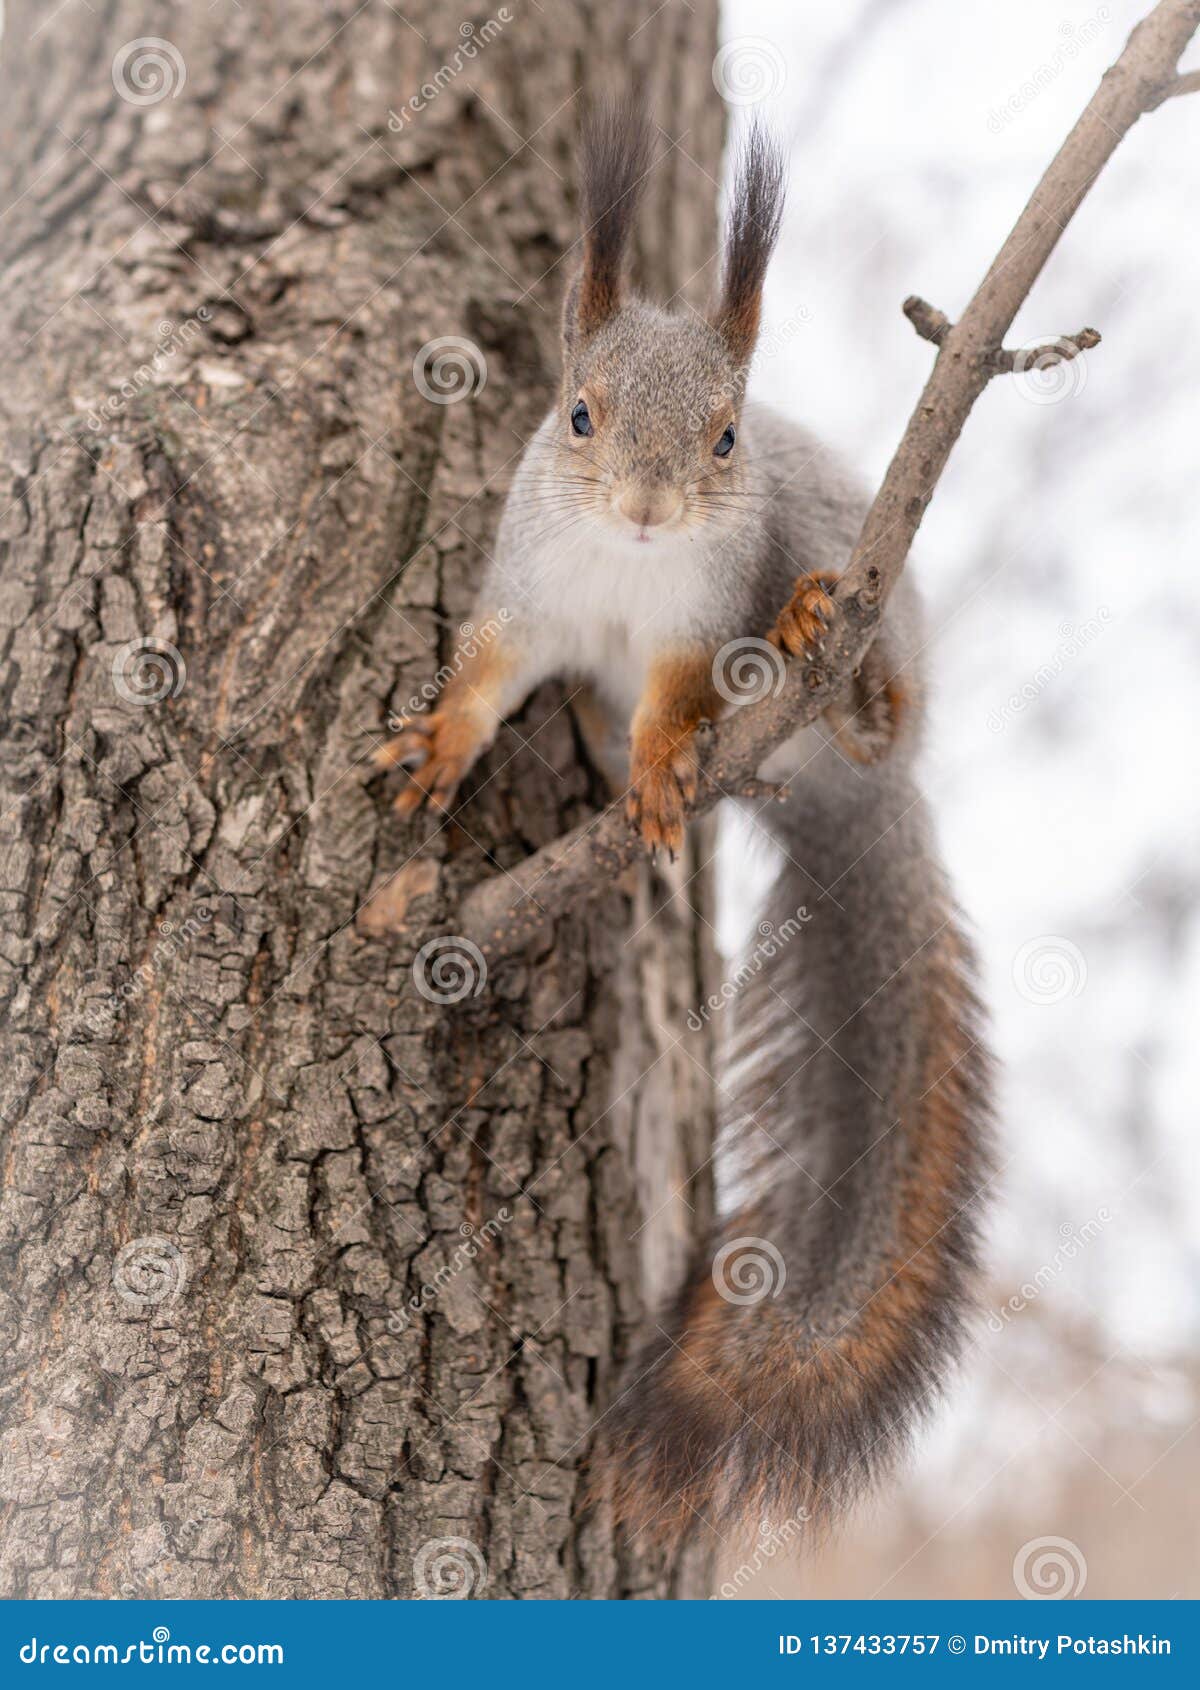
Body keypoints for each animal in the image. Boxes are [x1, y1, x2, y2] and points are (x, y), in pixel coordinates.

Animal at [376, 105, 993, 1548]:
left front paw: (664, 767)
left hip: (844, 582)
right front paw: (439, 747)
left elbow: (676, 699)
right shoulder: (528, 599)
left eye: (723, 439)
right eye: (579, 414)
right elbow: (484, 679)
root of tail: (858, 795)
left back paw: (839, 666)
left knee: (864, 694)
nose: (651, 508)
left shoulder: (692, 627)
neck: (626, 564)